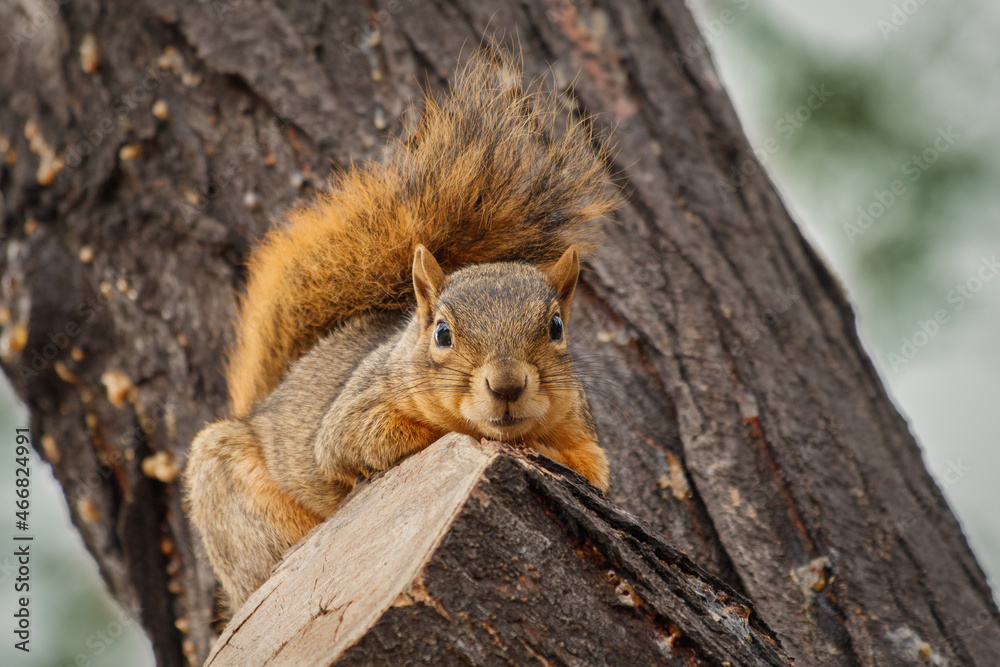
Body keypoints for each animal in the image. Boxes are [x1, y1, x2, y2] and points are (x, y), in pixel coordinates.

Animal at [185, 49, 622, 612]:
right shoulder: (354, 413)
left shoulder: (584, 435)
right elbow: (362, 441)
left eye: (556, 326)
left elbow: (591, 467)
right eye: (442, 334)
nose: (506, 386)